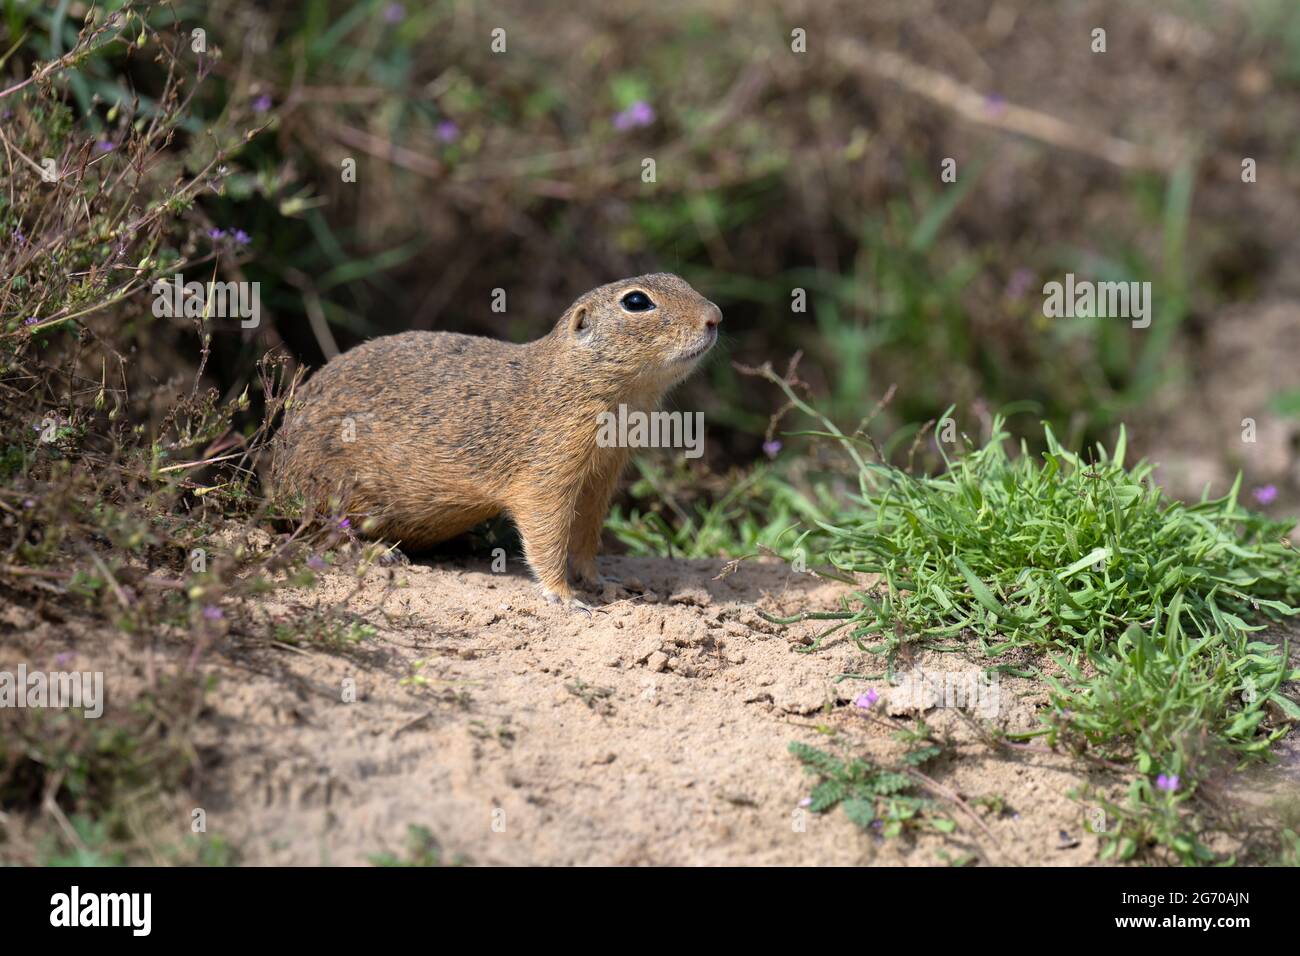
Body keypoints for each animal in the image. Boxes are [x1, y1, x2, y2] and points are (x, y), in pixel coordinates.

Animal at [270, 273, 721, 608]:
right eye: (636, 302)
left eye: (678, 278)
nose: (715, 315)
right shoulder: (547, 468)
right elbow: (546, 532)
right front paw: (565, 597)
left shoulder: (602, 475)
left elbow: (587, 535)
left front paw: (600, 579)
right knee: (320, 533)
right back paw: (378, 552)